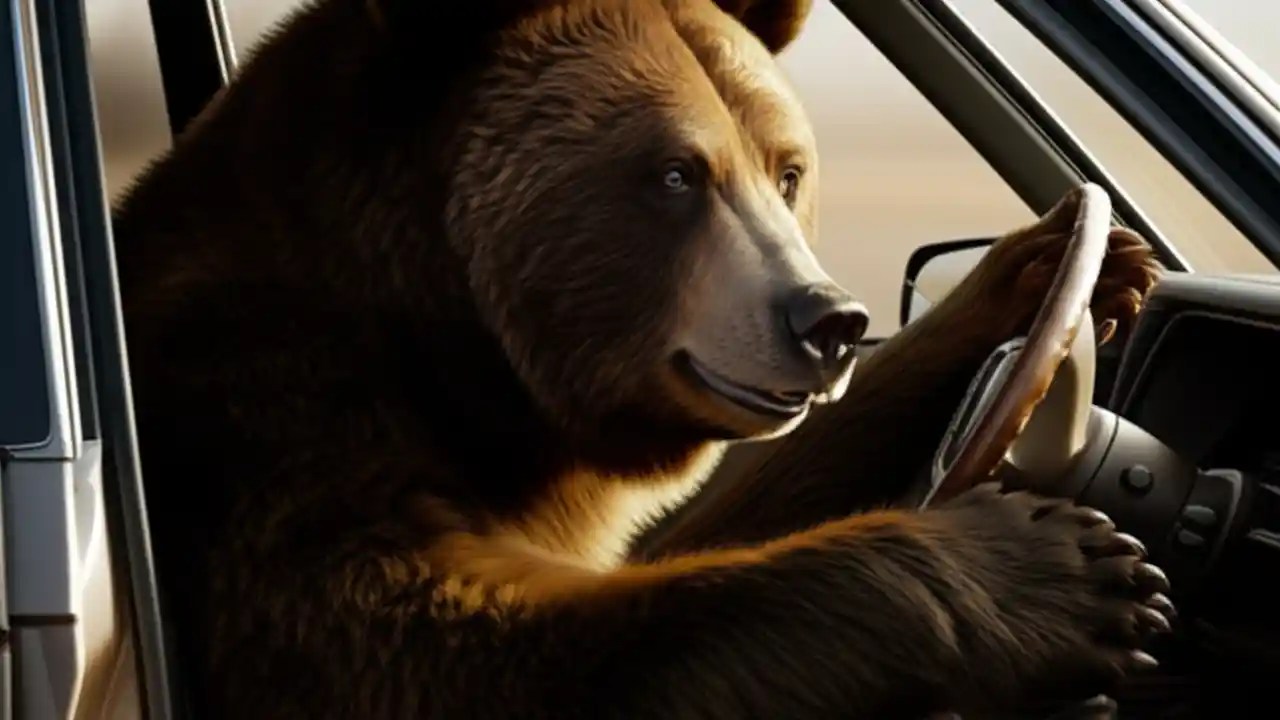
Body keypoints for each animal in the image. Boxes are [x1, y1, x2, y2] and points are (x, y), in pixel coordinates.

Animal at [110, 0, 1171, 717]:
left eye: (787, 170)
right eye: (674, 174)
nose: (826, 320)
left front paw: (1067, 266)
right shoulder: (266, 438)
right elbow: (438, 652)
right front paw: (1070, 571)